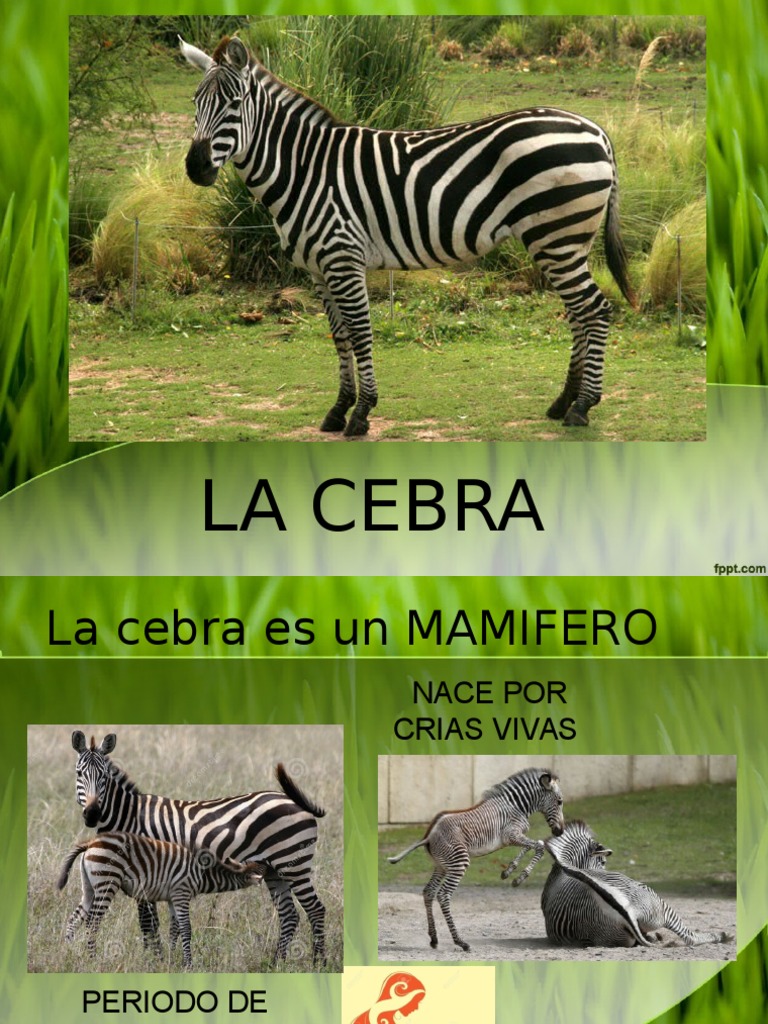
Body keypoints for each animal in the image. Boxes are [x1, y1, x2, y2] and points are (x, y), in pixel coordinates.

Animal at [58, 831, 266, 968]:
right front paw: (188, 964)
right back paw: (92, 958)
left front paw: (170, 959)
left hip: (89, 888)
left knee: (75, 918)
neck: (203, 873)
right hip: (107, 882)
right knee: (92, 921)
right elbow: (186, 929)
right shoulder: (182, 893)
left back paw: (70, 952)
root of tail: (91, 843)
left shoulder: (173, 898)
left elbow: (174, 930)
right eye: (266, 870)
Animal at [180, 35, 636, 438]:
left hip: (558, 236)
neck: (305, 170)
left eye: (234, 104)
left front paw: (362, 414)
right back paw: (563, 401)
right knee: (579, 313)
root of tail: (596, 130)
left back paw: (582, 406)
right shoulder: (319, 270)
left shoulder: (343, 258)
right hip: (559, 241)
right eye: (196, 104)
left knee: (595, 310)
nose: (196, 168)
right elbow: (339, 336)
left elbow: (360, 332)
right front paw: (338, 409)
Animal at [386, 767, 564, 951]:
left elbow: (532, 845)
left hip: (441, 866)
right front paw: (520, 877)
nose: (560, 832)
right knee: (443, 895)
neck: (516, 806)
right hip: (458, 863)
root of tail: (429, 835)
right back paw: (460, 941)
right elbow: (539, 845)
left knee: (429, 891)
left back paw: (434, 939)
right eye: (559, 802)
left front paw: (508, 871)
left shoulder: (514, 837)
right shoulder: (511, 835)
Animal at [541, 820, 731, 948]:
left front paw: (655, 937)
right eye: (603, 862)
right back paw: (723, 936)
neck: (564, 868)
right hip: (659, 905)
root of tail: (628, 913)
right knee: (690, 937)